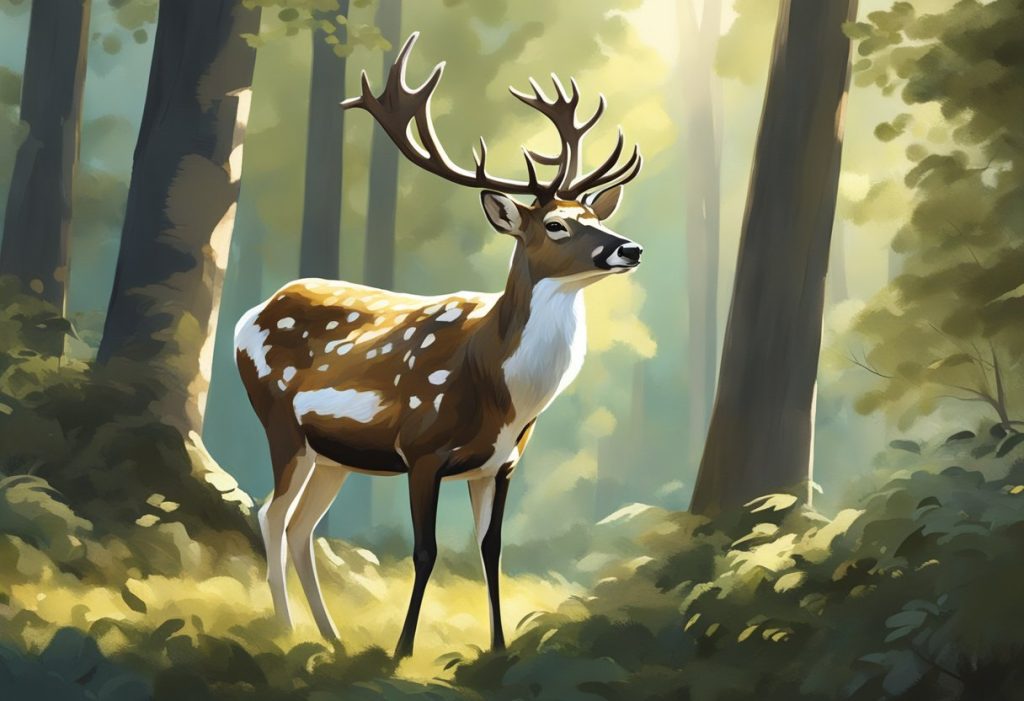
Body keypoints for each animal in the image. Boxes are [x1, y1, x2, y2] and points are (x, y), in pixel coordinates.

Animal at [234, 33, 643, 659]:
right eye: (555, 225)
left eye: (592, 213)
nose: (631, 248)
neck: (503, 393)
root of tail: (247, 317)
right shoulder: (421, 448)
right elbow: (424, 551)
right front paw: (403, 650)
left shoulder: (502, 464)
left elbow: (490, 550)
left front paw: (498, 648)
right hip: (281, 424)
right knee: (272, 515)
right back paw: (287, 630)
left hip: (333, 455)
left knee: (302, 526)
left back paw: (331, 636)